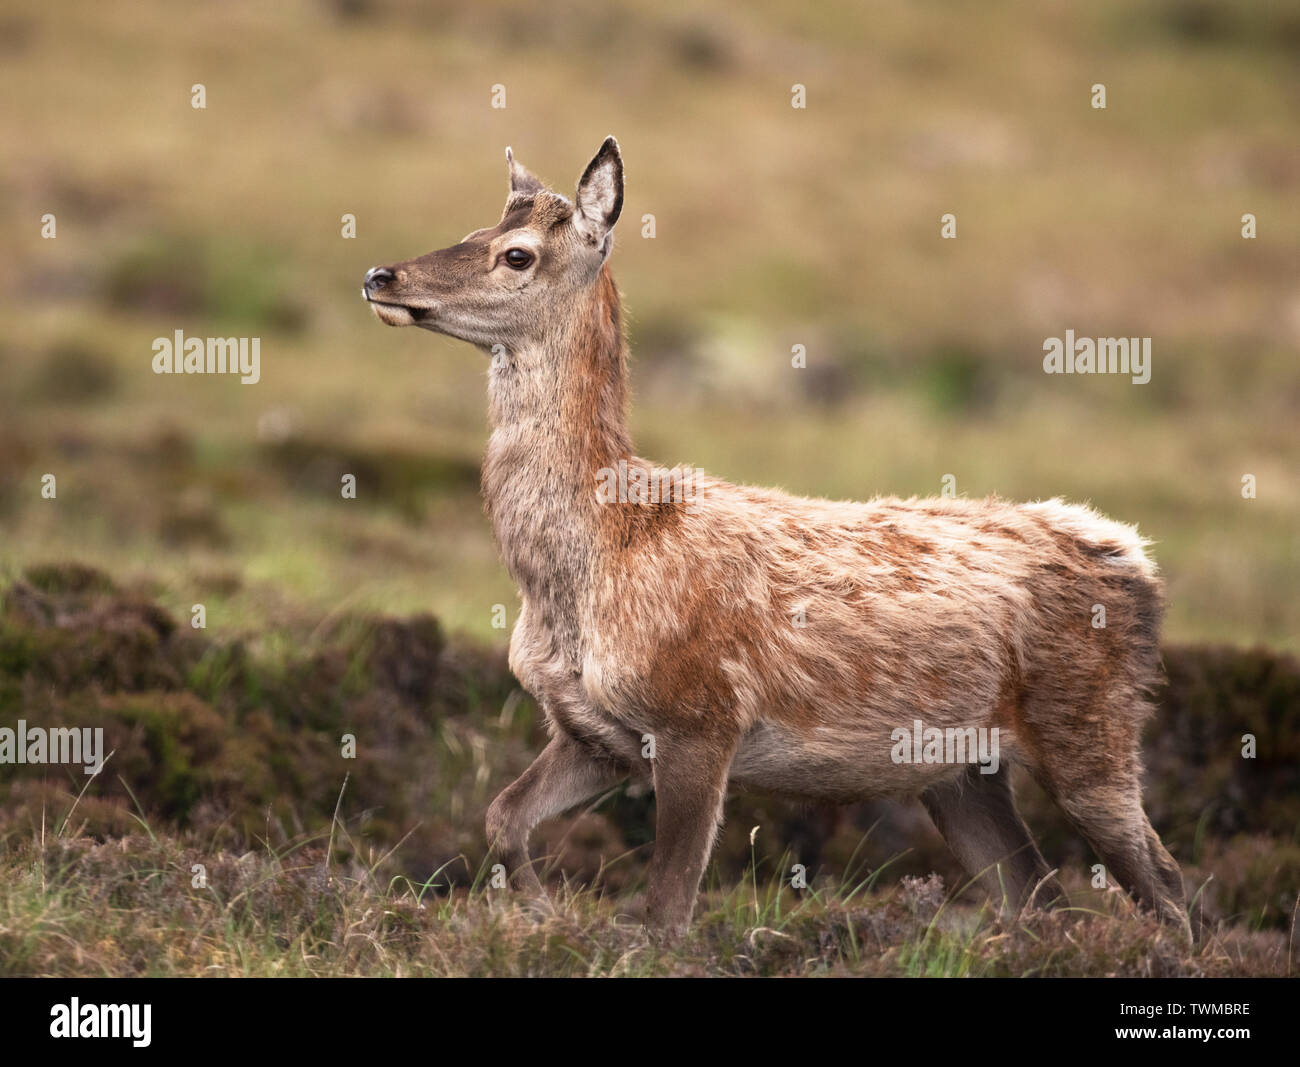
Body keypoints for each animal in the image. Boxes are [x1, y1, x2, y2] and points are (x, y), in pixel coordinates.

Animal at [362, 137, 1189, 940]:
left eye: (517, 254)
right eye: (473, 228)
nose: (379, 273)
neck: (587, 564)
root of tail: (1135, 558)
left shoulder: (699, 714)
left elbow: (666, 908)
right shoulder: (594, 732)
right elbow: (502, 814)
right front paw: (536, 910)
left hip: (1090, 729)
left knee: (1166, 881)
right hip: (962, 773)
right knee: (1038, 892)